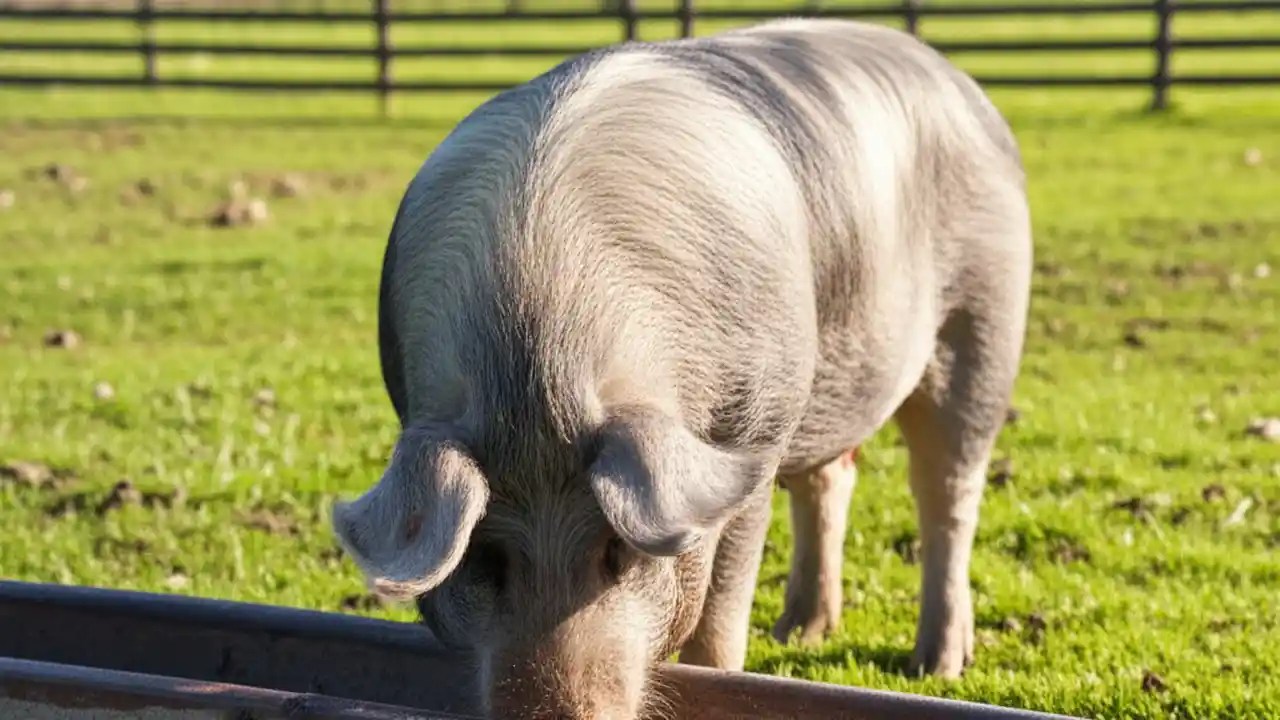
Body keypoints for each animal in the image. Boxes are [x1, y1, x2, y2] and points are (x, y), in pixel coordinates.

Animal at [332, 16, 1031, 720]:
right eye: (484, 558)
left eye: (617, 550)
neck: (540, 359)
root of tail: (954, 79)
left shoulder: (753, 438)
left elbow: (718, 609)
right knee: (831, 480)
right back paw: (800, 632)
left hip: (983, 321)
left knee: (948, 491)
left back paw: (936, 666)